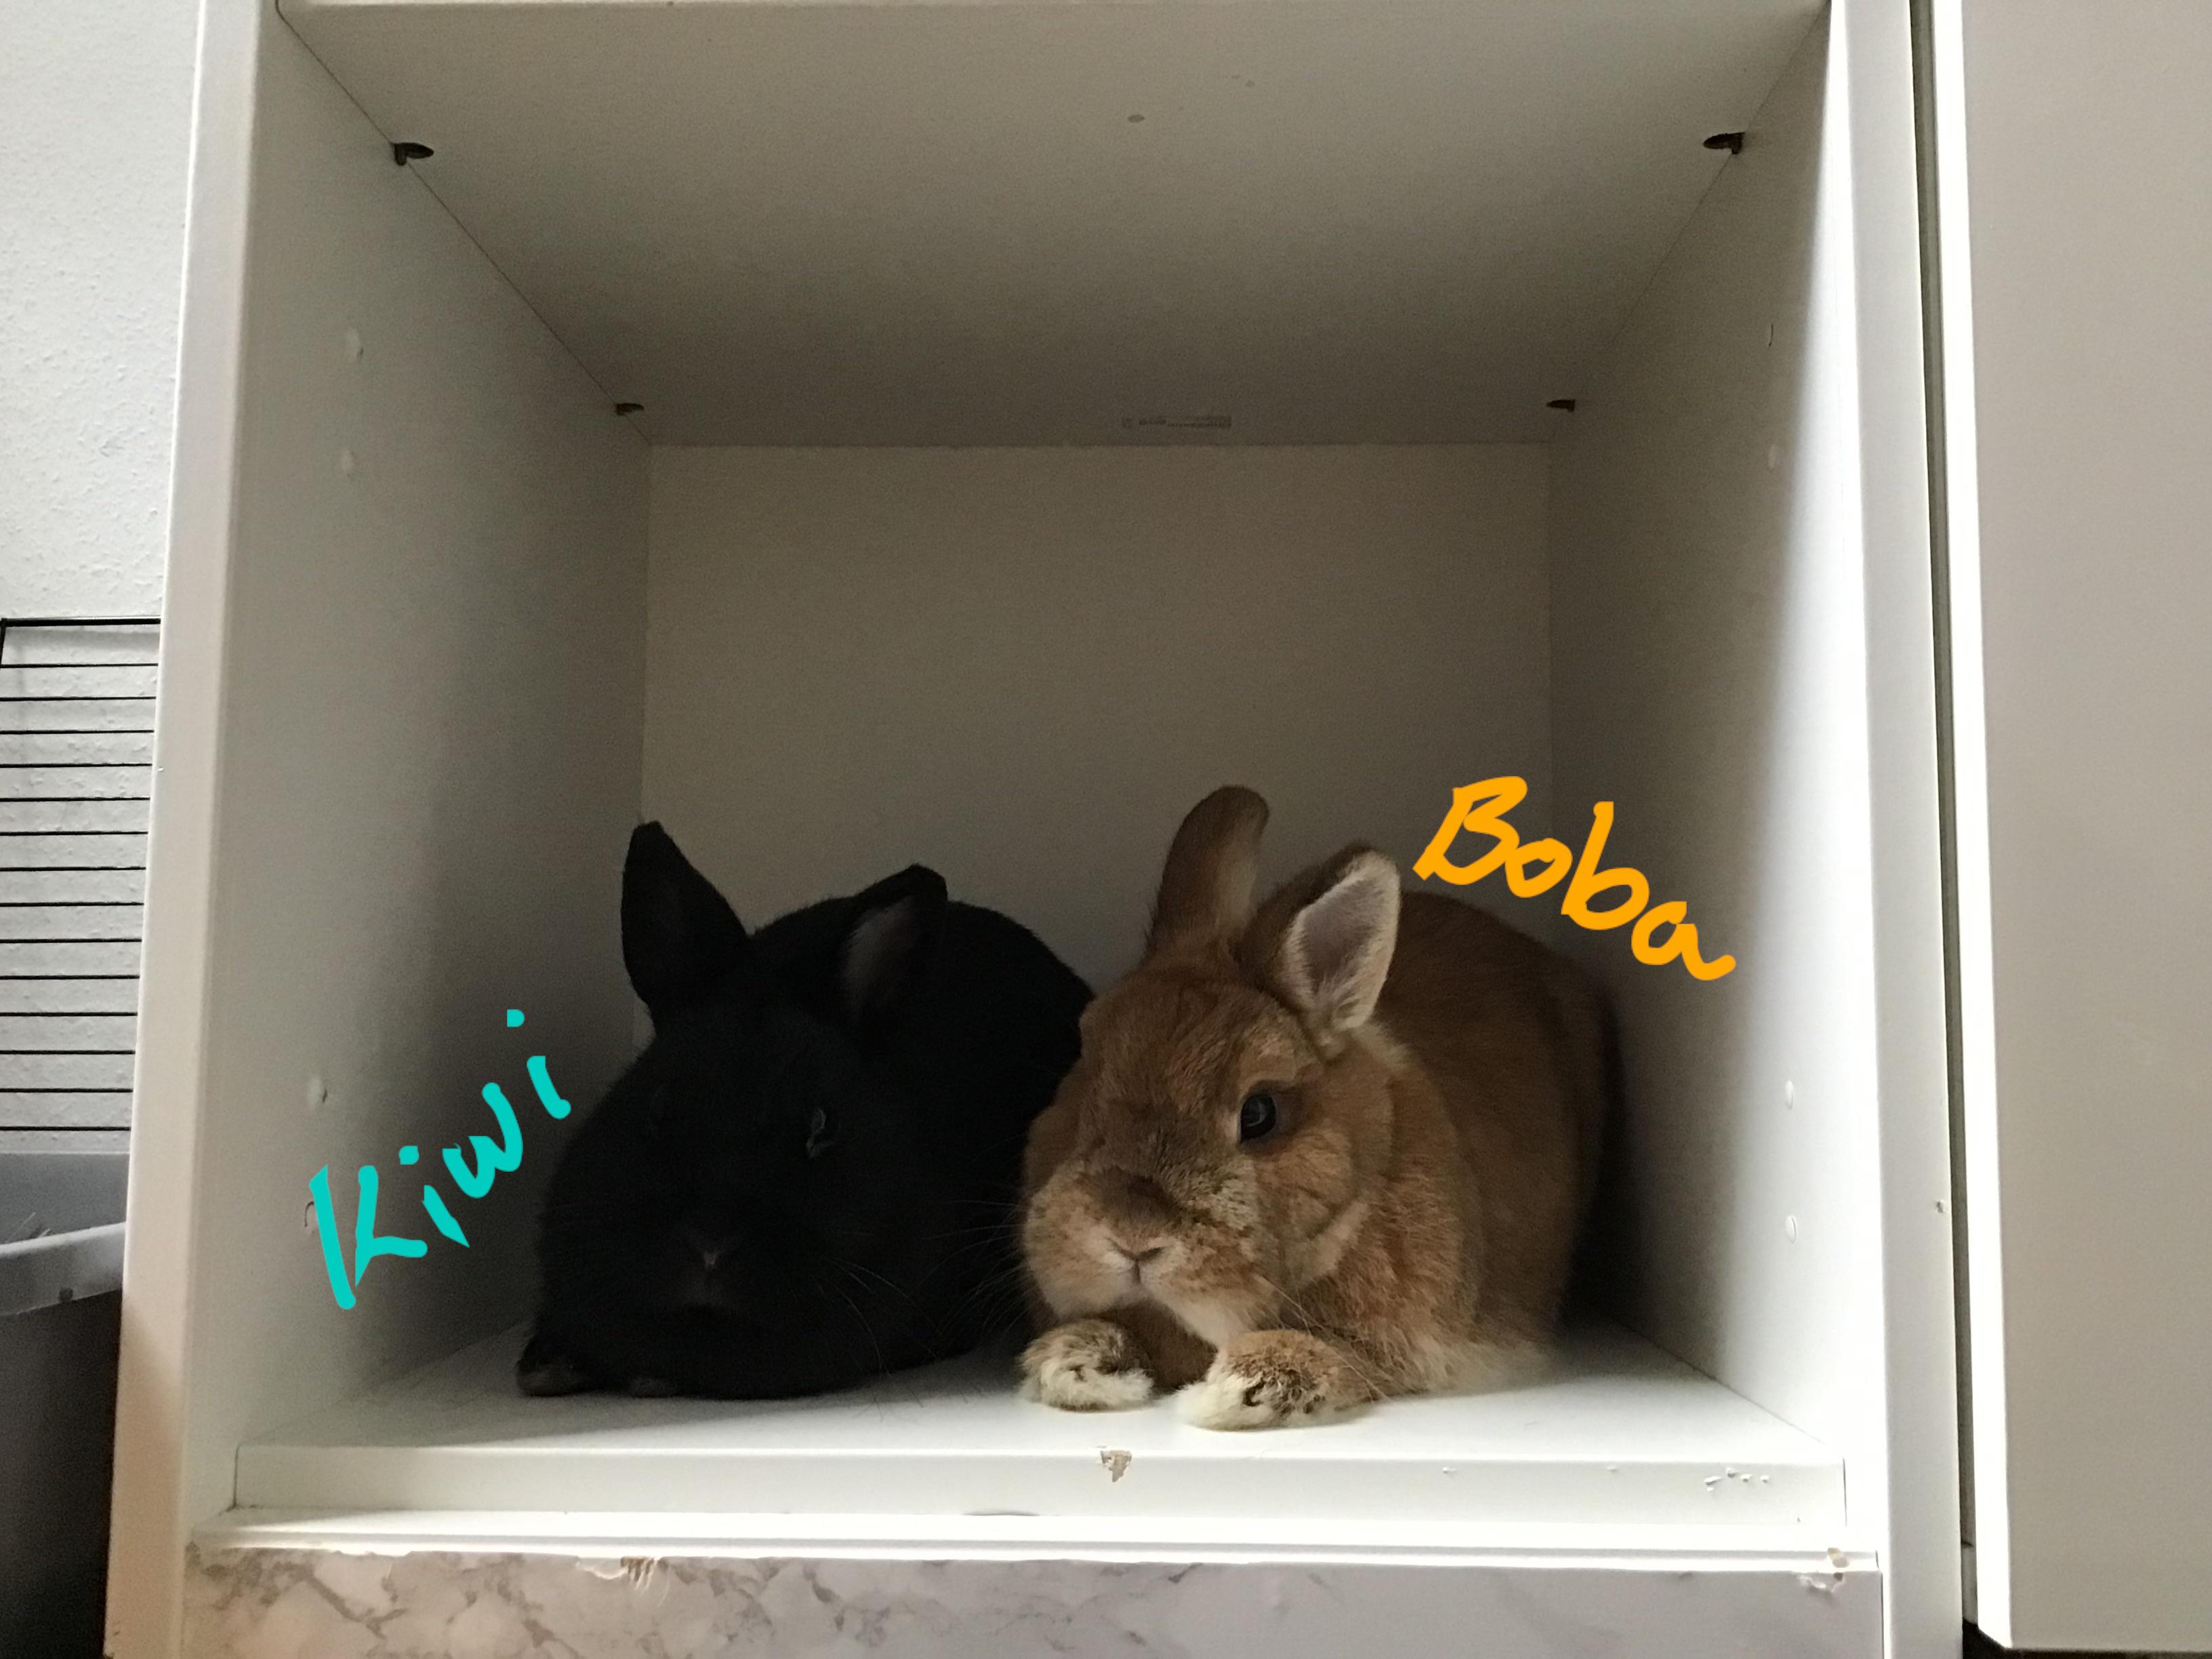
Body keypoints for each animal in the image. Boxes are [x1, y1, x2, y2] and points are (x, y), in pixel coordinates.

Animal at [1018, 785, 1605, 1430]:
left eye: (1259, 1115)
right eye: (1085, 1070)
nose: (1132, 1239)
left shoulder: (1406, 1349)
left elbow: (1338, 1359)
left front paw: (1233, 1389)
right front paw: (1071, 1359)